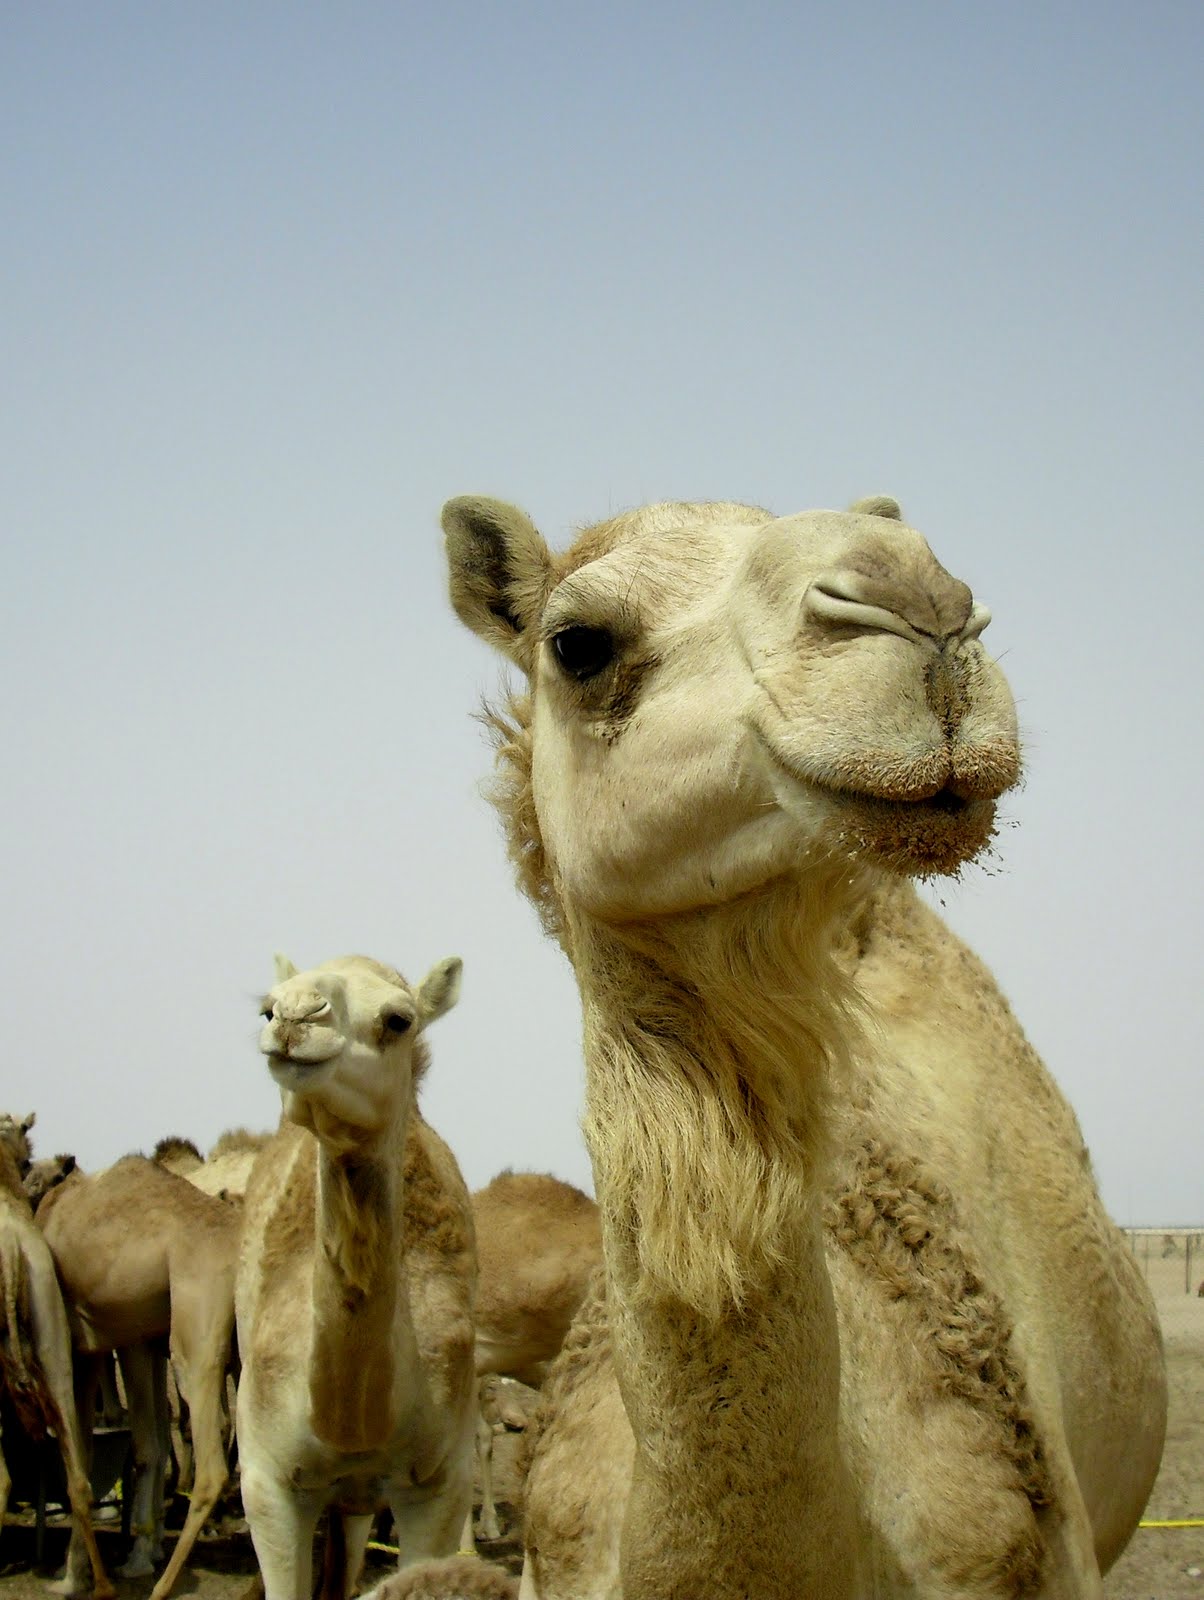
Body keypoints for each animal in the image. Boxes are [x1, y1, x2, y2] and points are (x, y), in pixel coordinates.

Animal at [36, 1154, 240, 1599]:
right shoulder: (108, 1343)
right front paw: (77, 1571)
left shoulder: (80, 1339)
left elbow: (80, 1457)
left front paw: (77, 1576)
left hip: (194, 1330)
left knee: (213, 1462)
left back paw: (162, 1585)